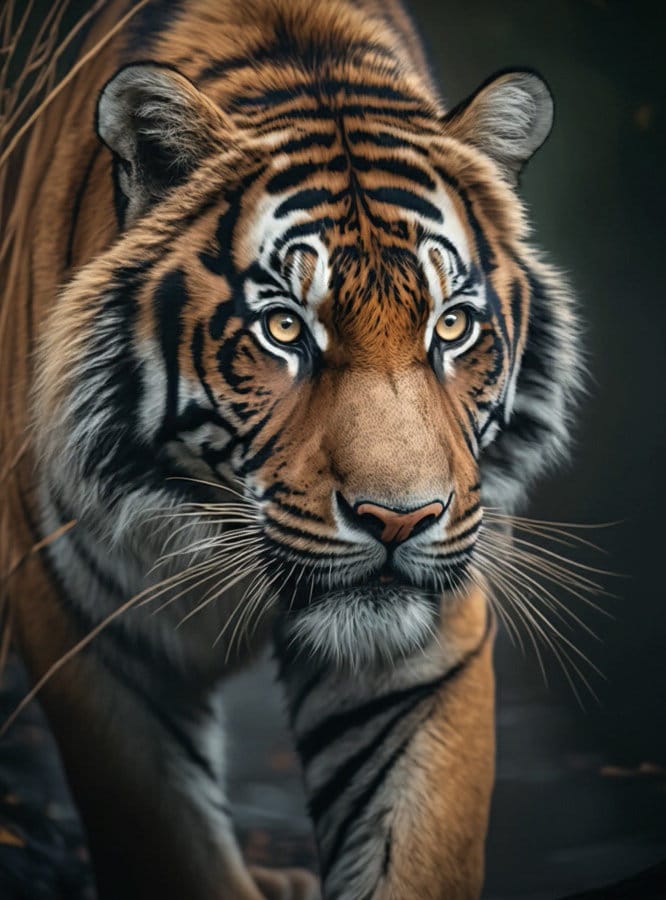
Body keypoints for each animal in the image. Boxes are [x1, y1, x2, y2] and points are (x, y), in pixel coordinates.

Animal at [0, 0, 581, 898]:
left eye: (451, 325)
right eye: (283, 328)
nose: (400, 520)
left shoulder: (425, 649)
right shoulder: (88, 634)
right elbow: (173, 849)